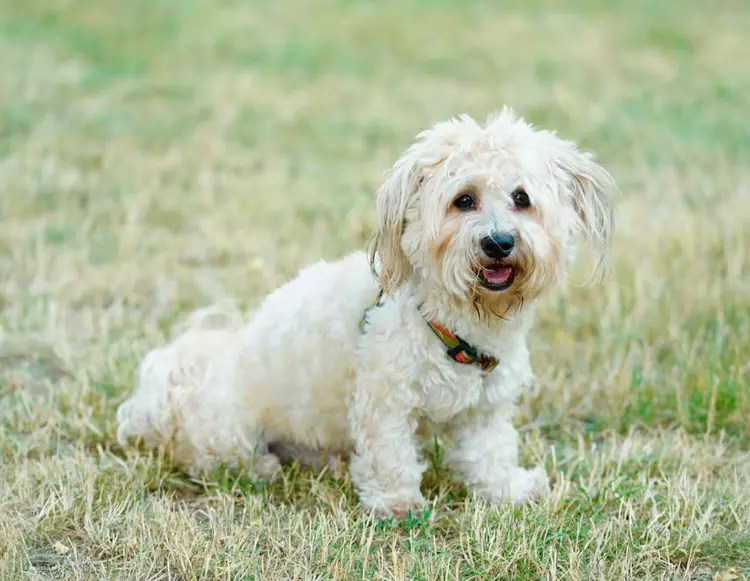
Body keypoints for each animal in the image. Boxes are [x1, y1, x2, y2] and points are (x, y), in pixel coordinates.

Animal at [117, 107, 616, 516]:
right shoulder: (384, 399)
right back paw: (262, 467)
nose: (498, 242)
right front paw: (399, 506)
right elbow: (390, 455)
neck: (455, 325)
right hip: (229, 428)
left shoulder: (484, 410)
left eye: (521, 198)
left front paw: (510, 489)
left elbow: (489, 454)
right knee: (212, 459)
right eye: (464, 200)